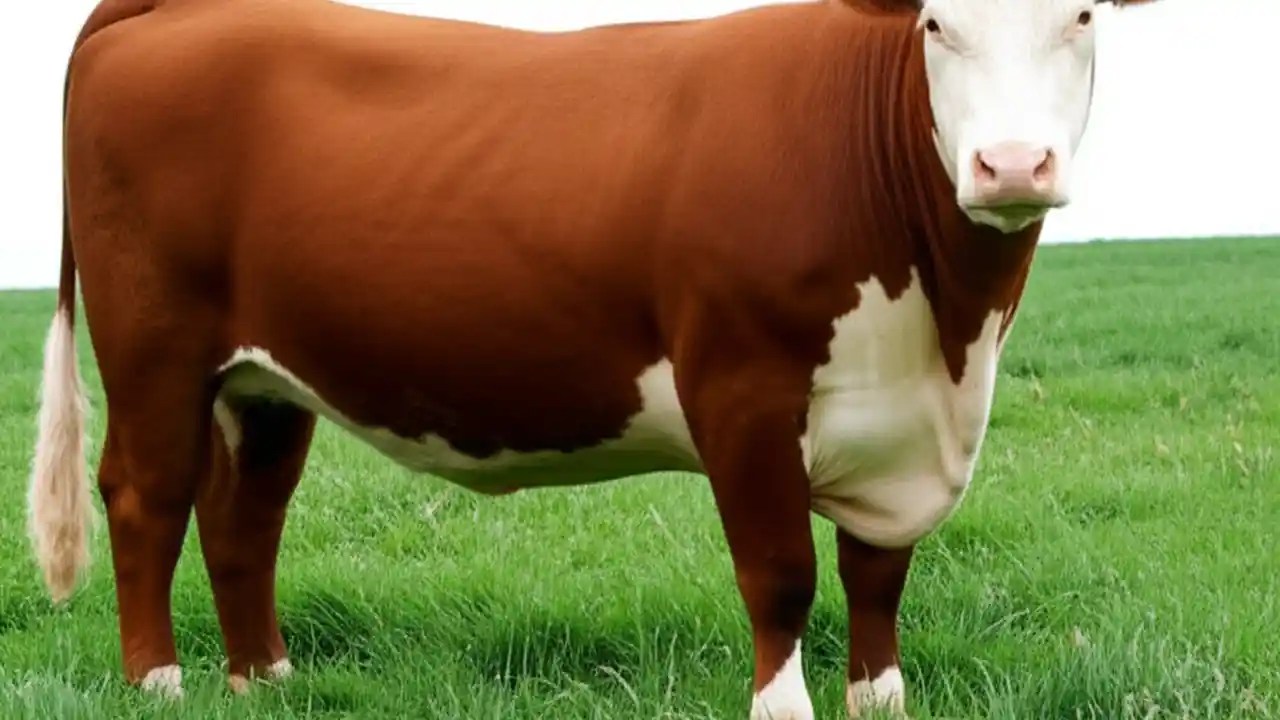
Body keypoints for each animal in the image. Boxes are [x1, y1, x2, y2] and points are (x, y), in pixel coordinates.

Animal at [27, 0, 1158, 716]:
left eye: (1080, 16)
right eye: (935, 25)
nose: (1010, 164)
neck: (947, 332)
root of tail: (175, 11)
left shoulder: (901, 421)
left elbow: (878, 573)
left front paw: (879, 701)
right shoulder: (741, 390)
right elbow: (782, 574)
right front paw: (782, 706)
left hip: (263, 379)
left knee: (243, 518)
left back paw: (265, 680)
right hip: (156, 349)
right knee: (146, 498)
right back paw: (157, 684)